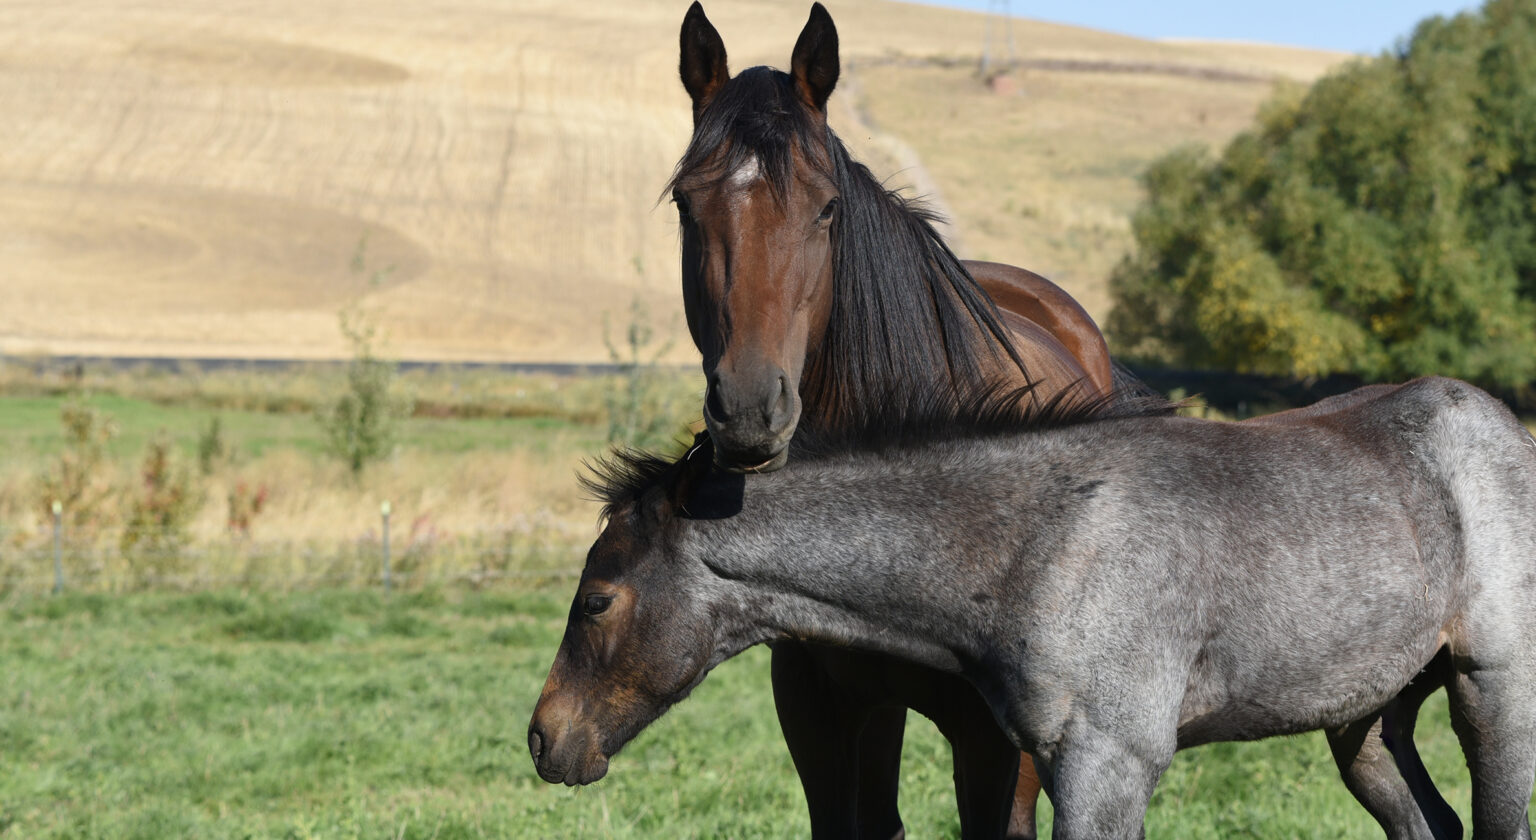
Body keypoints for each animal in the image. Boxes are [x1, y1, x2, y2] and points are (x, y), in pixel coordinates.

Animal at [529, 378, 1536, 839]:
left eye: (597, 598)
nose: (545, 738)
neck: (1039, 545)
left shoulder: (1108, 764)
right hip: (1367, 722)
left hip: (1493, 689)